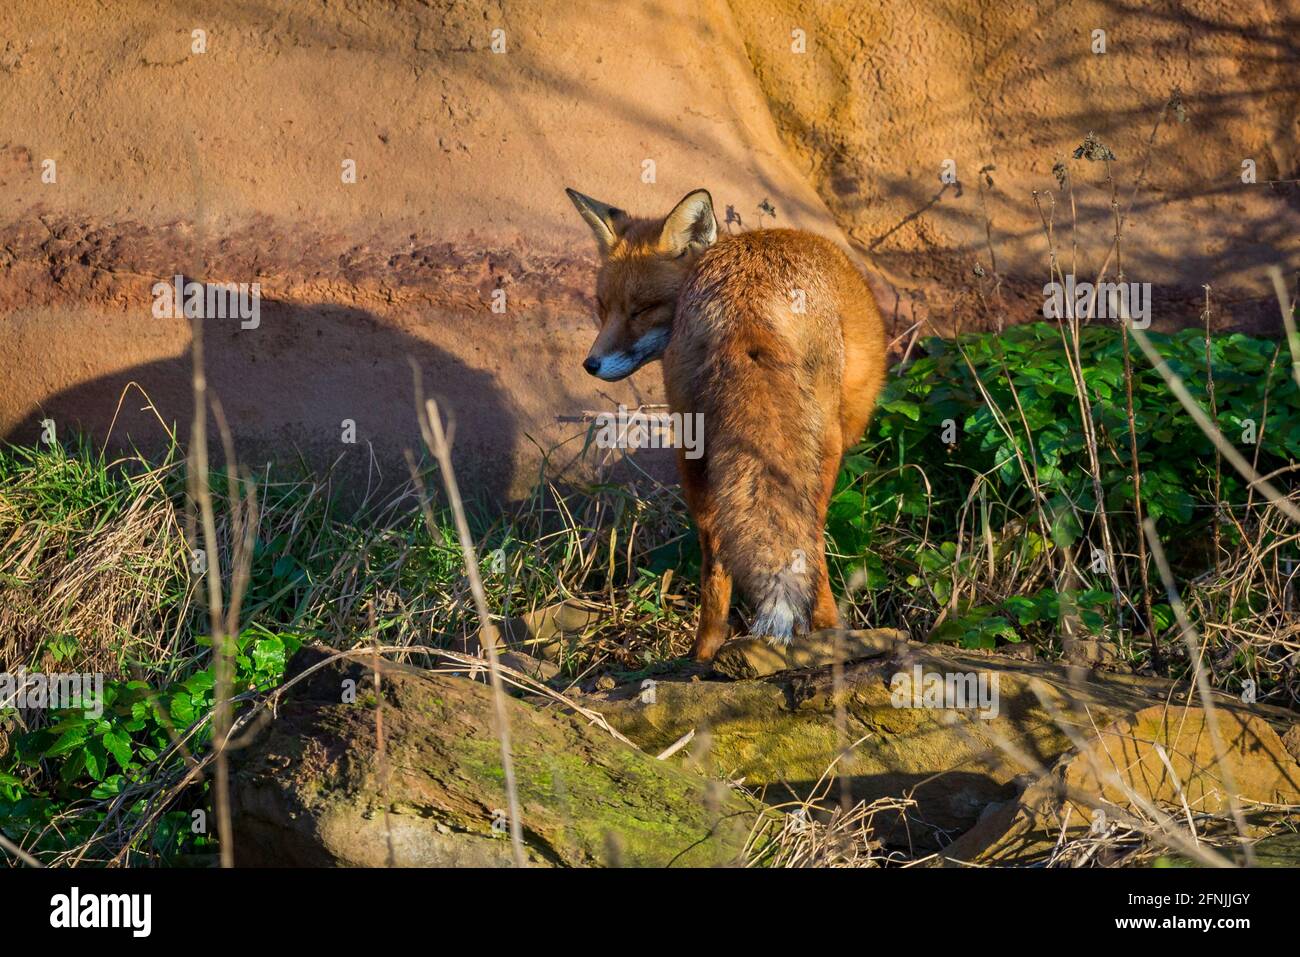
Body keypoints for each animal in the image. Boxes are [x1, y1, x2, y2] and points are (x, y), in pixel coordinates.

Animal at [566, 186, 887, 660]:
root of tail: (746, 287)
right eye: (604, 308)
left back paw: (704, 651)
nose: (590, 364)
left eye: (641, 310)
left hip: (693, 445)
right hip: (821, 443)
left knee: (715, 549)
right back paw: (827, 629)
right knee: (808, 536)